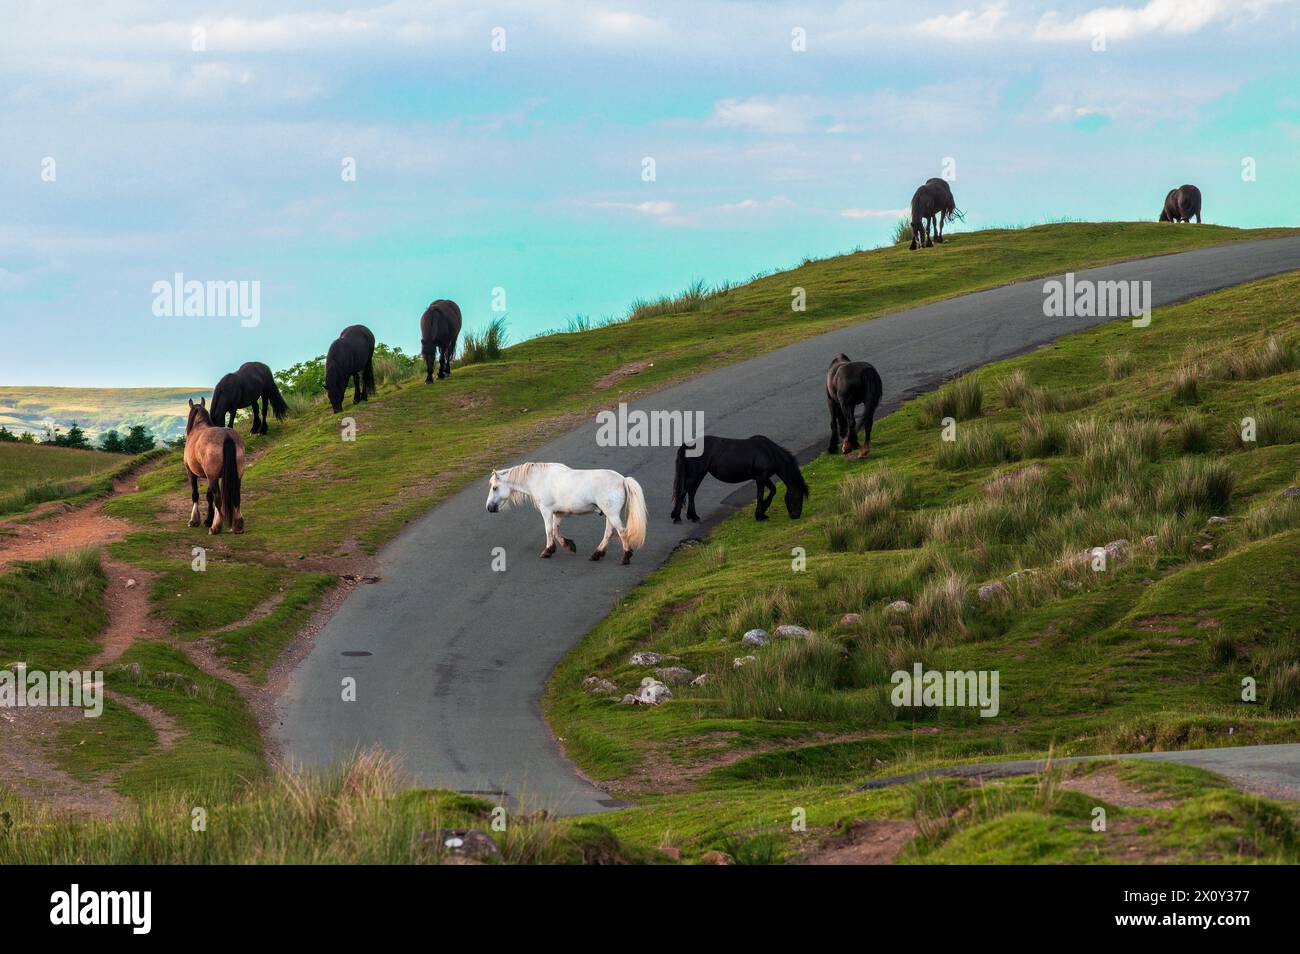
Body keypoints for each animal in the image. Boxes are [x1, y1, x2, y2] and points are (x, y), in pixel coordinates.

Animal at [183, 398, 245, 535]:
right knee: (236, 496)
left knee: (218, 497)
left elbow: (195, 494)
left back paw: (215, 527)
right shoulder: (211, 475)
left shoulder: (191, 472)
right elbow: (209, 495)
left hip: (212, 477)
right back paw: (238, 526)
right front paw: (208, 520)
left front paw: (195, 520)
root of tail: (227, 437)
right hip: (236, 476)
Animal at [485, 463, 648, 565]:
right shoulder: (559, 513)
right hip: (609, 514)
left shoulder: (547, 511)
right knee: (609, 533)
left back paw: (626, 557)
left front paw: (547, 551)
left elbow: (549, 530)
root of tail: (623, 480)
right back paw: (597, 554)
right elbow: (556, 531)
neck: (538, 478)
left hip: (612, 514)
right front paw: (568, 545)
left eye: (494, 487)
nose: (489, 508)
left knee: (622, 532)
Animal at [671, 435, 809, 524]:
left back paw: (693, 516)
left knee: (691, 493)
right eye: (798, 496)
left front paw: (762, 512)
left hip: (699, 475)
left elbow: (773, 490)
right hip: (695, 475)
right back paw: (677, 518)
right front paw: (759, 515)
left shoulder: (764, 477)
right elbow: (760, 494)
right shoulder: (760, 477)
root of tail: (687, 445)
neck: (768, 452)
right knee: (684, 493)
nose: (796, 515)